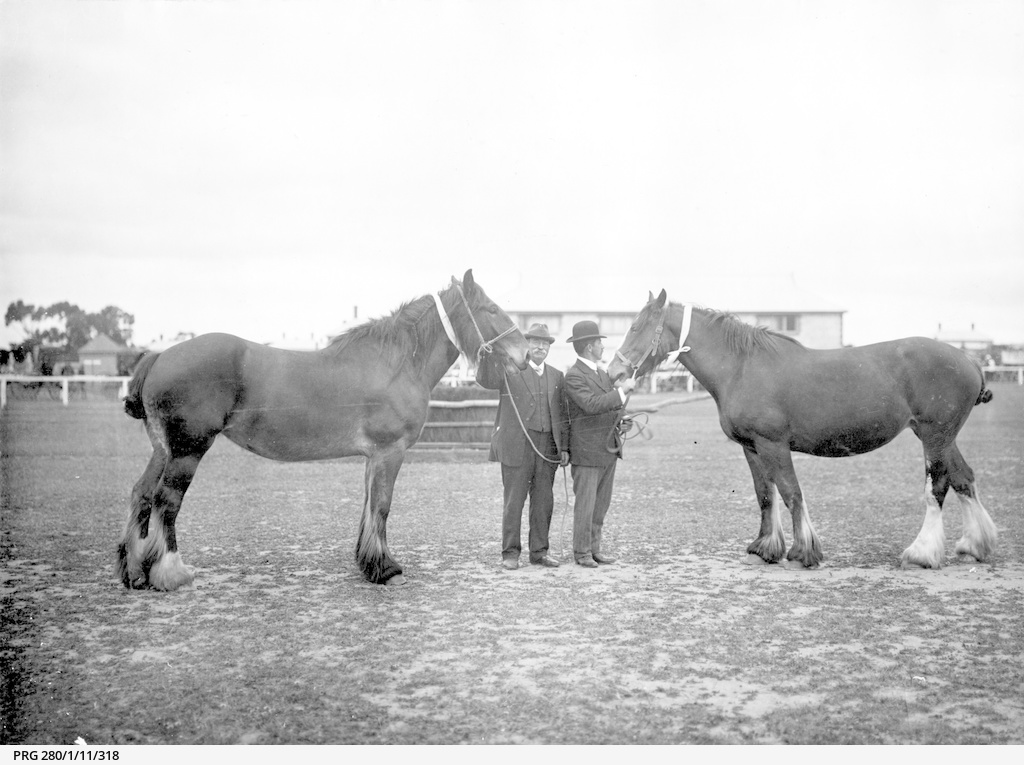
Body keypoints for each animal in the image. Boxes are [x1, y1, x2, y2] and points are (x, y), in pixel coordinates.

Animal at [118, 270, 529, 590]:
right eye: (491, 309)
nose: (526, 353)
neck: (396, 363)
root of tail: (160, 356)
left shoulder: (373, 457)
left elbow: (368, 506)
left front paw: (369, 563)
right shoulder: (390, 452)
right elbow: (382, 507)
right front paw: (386, 569)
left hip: (163, 450)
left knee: (141, 494)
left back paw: (134, 571)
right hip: (187, 451)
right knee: (166, 501)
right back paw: (171, 573)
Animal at [607, 290, 997, 570]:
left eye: (636, 327)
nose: (614, 373)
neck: (741, 367)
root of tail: (970, 361)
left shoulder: (773, 444)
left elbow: (791, 493)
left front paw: (803, 552)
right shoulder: (752, 447)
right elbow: (765, 495)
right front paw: (765, 547)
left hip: (934, 436)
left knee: (938, 486)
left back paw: (923, 553)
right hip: (940, 437)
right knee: (964, 478)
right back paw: (975, 545)